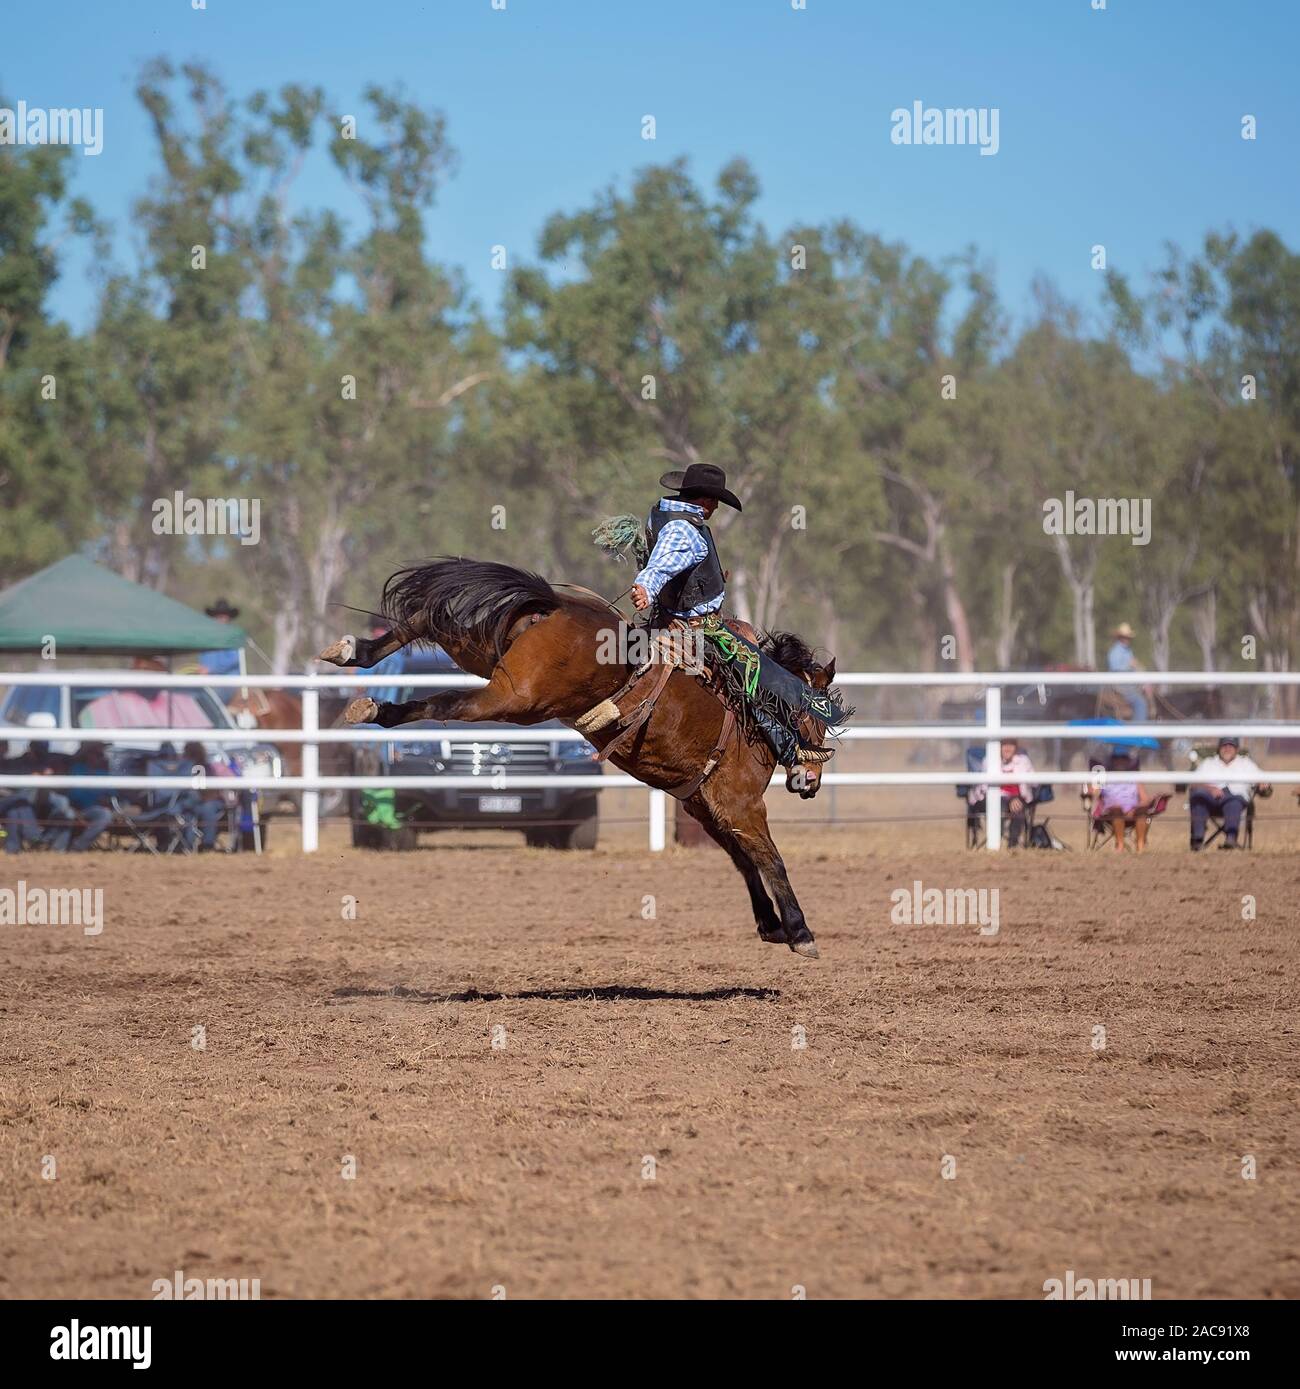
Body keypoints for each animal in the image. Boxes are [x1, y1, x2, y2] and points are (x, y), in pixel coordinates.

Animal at [318, 557, 843, 958]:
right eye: (821, 715)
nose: (811, 780)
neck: (753, 708)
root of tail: (556, 606)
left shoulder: (705, 806)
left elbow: (744, 861)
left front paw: (770, 925)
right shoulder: (741, 805)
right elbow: (770, 859)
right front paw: (800, 931)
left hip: (489, 657)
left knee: (432, 622)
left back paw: (357, 661)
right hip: (514, 698)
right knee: (446, 701)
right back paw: (372, 696)